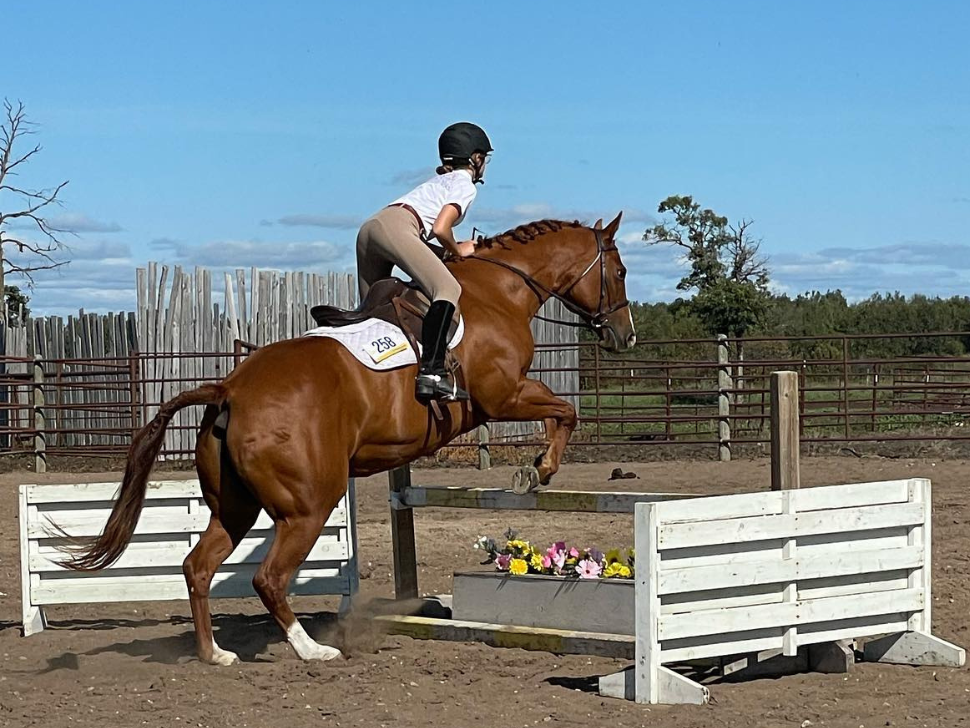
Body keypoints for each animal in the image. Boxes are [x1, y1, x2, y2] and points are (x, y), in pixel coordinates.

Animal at [62, 212, 637, 666]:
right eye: (621, 271)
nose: (625, 335)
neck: (498, 291)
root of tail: (230, 387)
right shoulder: (504, 395)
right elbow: (564, 412)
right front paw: (537, 470)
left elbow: (560, 412)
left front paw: (535, 466)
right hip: (307, 506)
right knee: (268, 578)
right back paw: (313, 649)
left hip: (236, 506)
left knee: (198, 566)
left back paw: (214, 653)